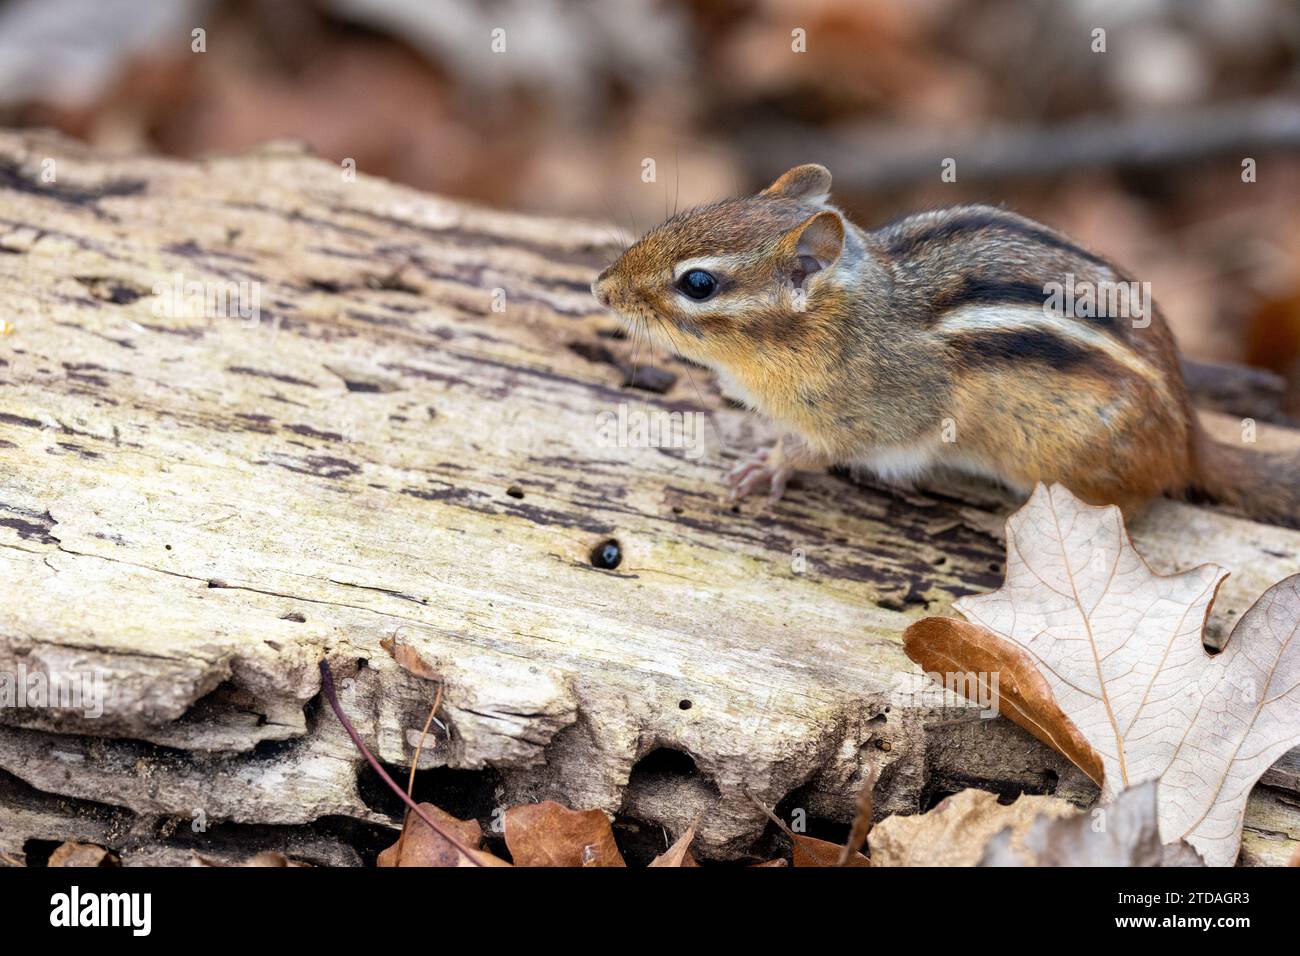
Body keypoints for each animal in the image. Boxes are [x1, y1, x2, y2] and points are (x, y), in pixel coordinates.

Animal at [591, 163, 1300, 529]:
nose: (601, 287)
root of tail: (1189, 436)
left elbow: (816, 450)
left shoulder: (875, 421)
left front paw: (770, 465)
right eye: (688, 215)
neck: (846, 319)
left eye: (698, 284)